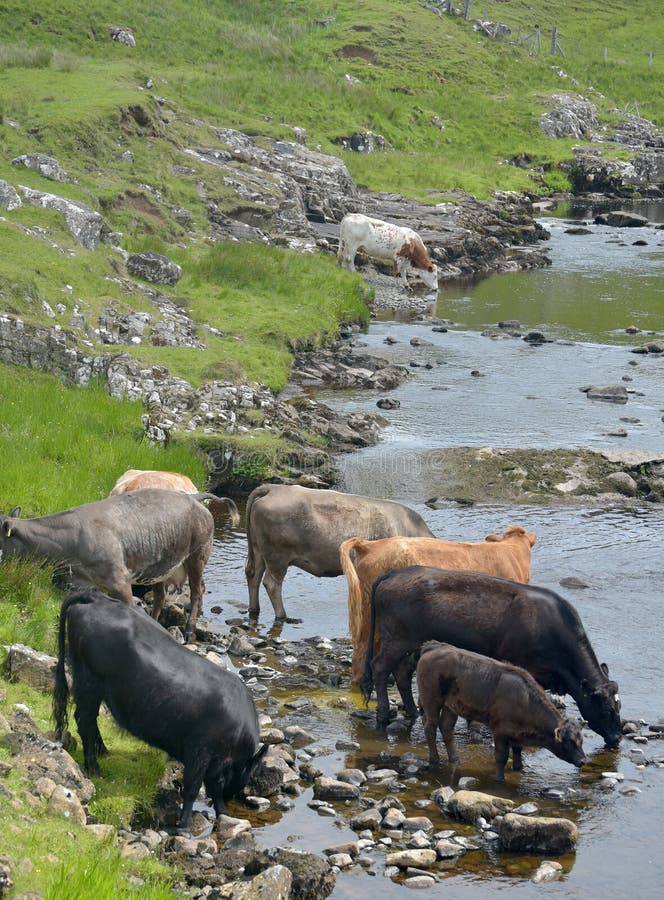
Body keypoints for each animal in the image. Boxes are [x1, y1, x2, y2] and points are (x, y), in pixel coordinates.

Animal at [0, 489, 216, 641]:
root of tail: (193, 496)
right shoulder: (74, 583)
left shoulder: (120, 582)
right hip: (161, 567)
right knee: (161, 597)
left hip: (197, 555)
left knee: (197, 592)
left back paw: (189, 631)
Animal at [52, 589, 267, 830]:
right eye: (249, 775)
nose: (236, 797)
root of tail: (96, 597)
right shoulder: (200, 751)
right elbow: (193, 788)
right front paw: (184, 825)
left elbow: (214, 787)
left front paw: (222, 813)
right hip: (89, 681)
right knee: (84, 720)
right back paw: (94, 767)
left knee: (90, 720)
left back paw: (103, 750)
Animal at [245, 483, 434, 620]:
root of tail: (273, 488)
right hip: (277, 557)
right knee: (272, 584)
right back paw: (282, 616)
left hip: (258, 550)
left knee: (253, 575)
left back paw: (254, 609)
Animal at [361, 566, 622, 749]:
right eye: (607, 709)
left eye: (619, 706)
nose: (618, 737)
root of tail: (395, 573)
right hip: (396, 640)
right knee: (380, 667)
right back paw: (383, 713)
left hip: (409, 643)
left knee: (402, 672)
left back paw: (413, 711)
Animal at [416, 641, 586, 781]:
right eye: (569, 742)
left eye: (581, 740)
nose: (583, 760)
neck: (525, 700)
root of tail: (434, 647)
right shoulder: (500, 731)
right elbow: (501, 757)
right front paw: (500, 779)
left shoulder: (518, 734)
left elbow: (517, 752)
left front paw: (519, 769)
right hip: (431, 700)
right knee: (430, 727)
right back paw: (435, 760)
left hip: (451, 706)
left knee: (446, 728)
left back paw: (455, 759)